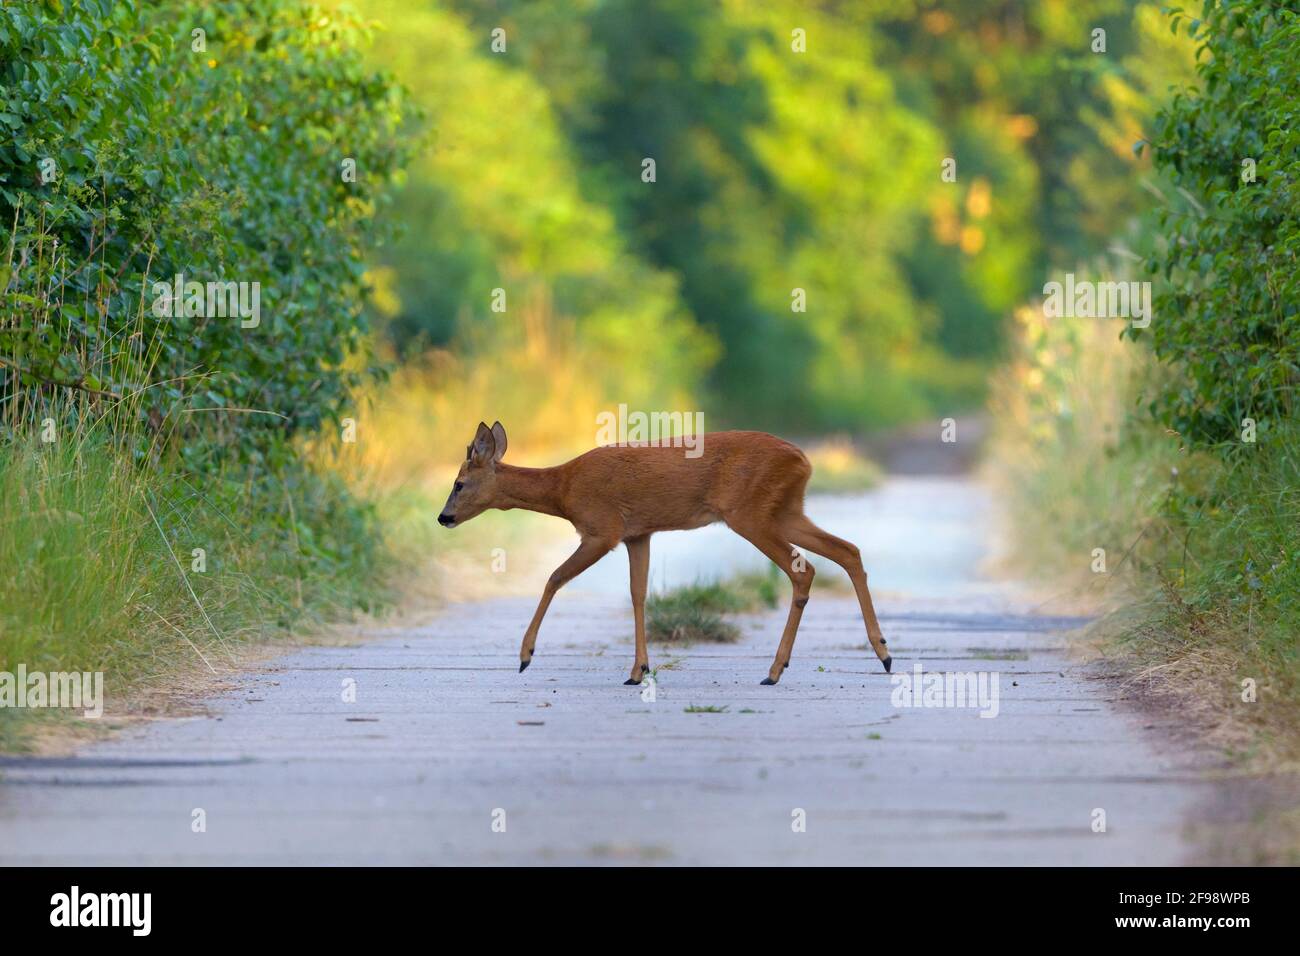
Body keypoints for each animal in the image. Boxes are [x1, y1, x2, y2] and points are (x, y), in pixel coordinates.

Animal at [438, 421, 891, 685]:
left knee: (804, 570)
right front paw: (638, 671)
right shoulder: (639, 534)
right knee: (847, 551)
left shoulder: (602, 530)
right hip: (786, 510)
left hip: (750, 514)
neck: (563, 489)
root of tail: (804, 461)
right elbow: (638, 593)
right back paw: (883, 654)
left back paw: (775, 671)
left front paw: (525, 656)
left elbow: (554, 578)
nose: (443, 517)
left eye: (459, 483)